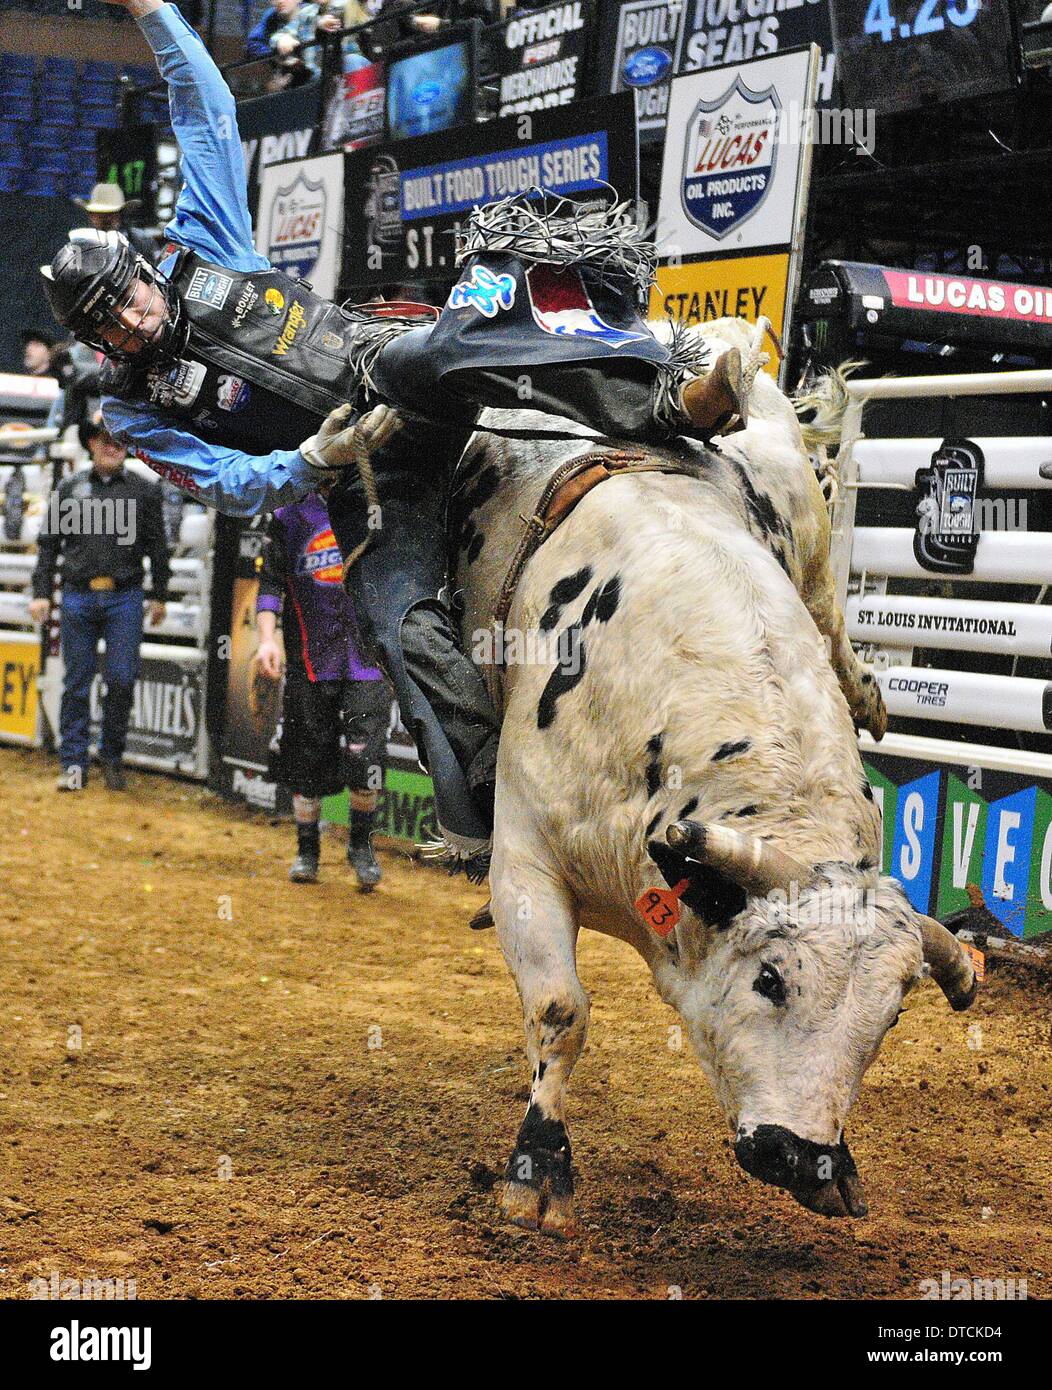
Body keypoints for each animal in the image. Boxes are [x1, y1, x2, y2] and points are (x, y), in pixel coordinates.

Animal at [449, 319, 978, 1235]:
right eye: (769, 978)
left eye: (890, 1015)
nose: (800, 1154)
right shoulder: (525, 859)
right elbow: (560, 1011)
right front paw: (537, 1170)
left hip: (807, 522)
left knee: (829, 607)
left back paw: (869, 692)